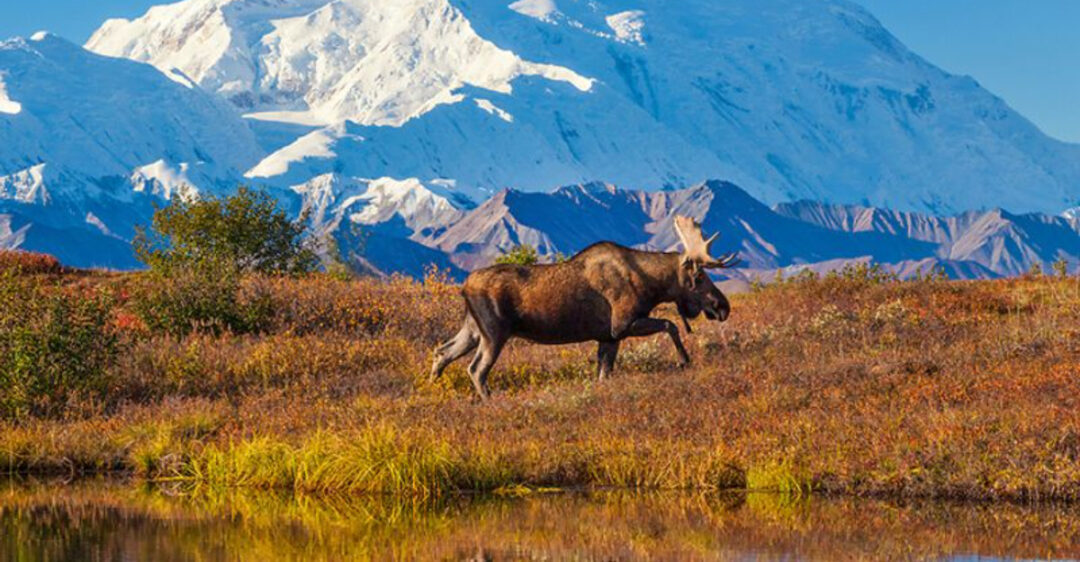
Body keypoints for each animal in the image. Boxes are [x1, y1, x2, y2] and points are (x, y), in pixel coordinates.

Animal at [431, 216, 738, 400]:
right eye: (700, 277)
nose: (723, 306)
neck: (652, 285)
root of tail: (464, 287)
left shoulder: (608, 336)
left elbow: (604, 372)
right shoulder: (623, 324)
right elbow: (670, 324)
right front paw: (684, 360)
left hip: (473, 330)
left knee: (442, 352)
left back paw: (431, 388)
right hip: (494, 333)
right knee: (476, 369)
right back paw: (490, 401)